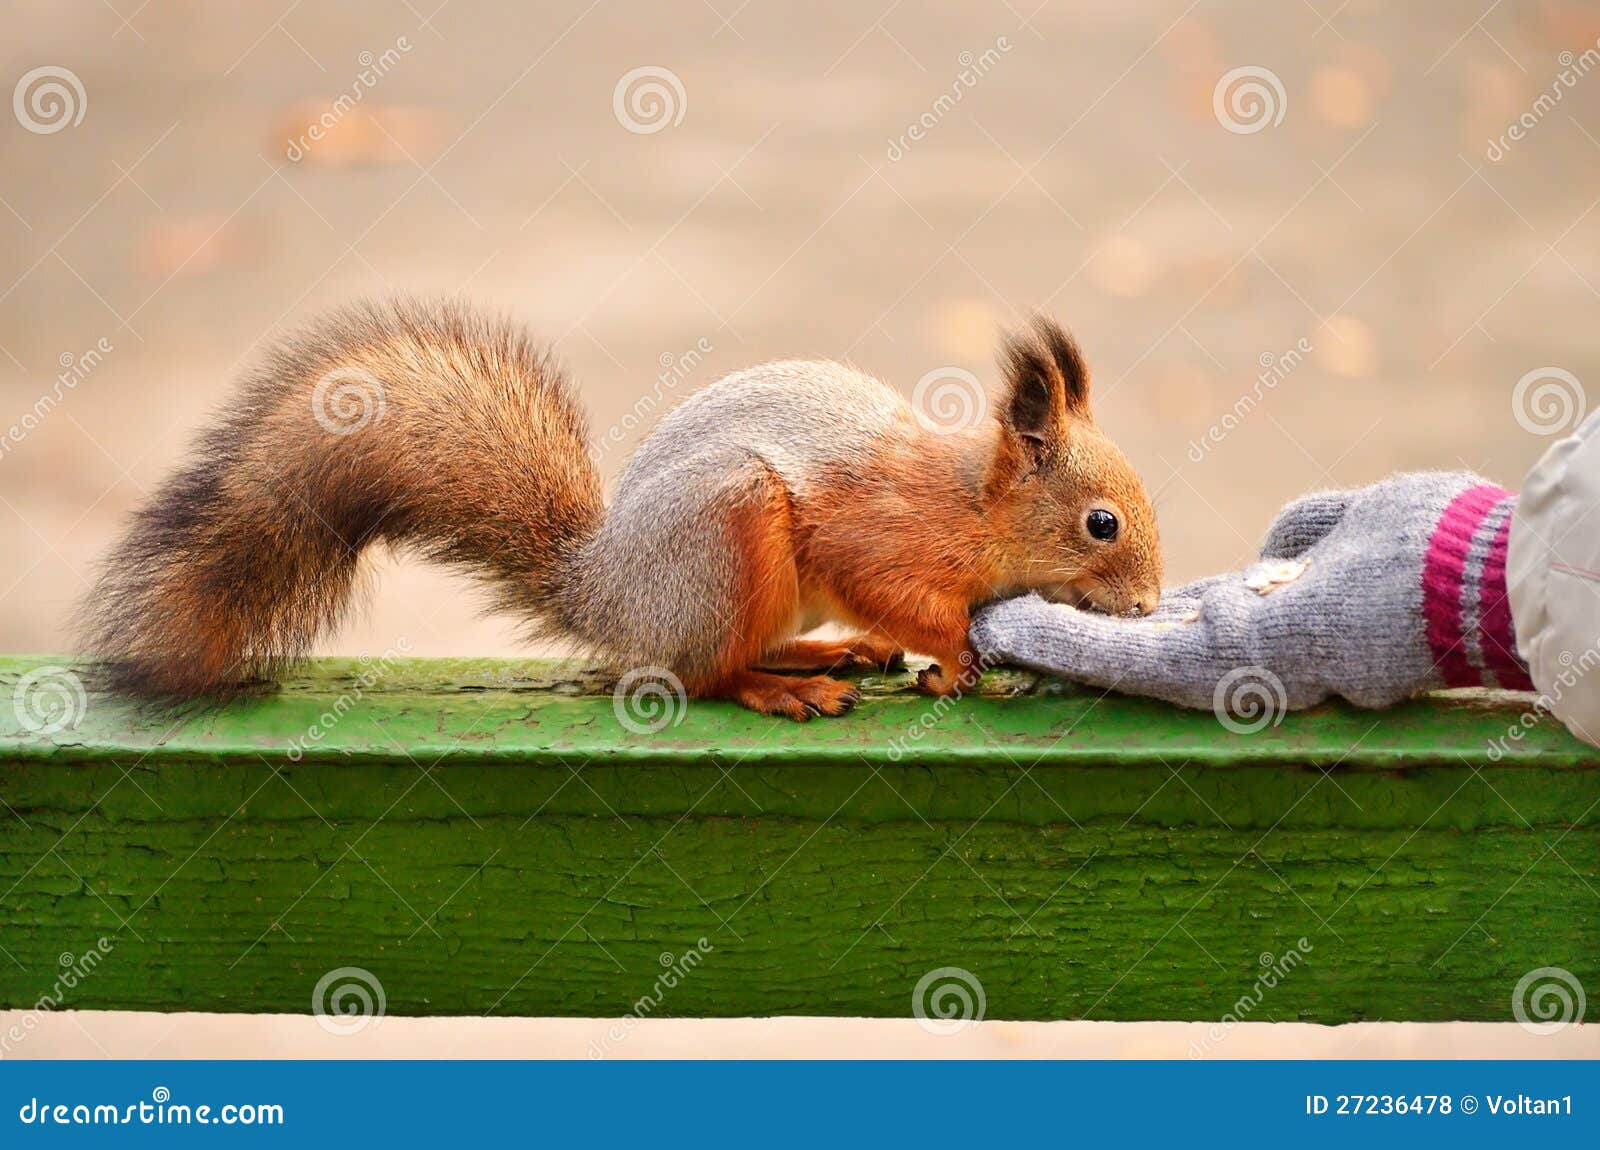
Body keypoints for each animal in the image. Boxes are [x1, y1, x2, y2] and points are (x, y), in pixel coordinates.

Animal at [81, 297, 1162, 720]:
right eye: (1100, 523)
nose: (1152, 606)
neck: (971, 506)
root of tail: (602, 592)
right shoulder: (880, 535)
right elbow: (896, 591)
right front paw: (956, 649)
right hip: (728, 538)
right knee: (703, 671)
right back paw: (784, 687)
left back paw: (827, 653)